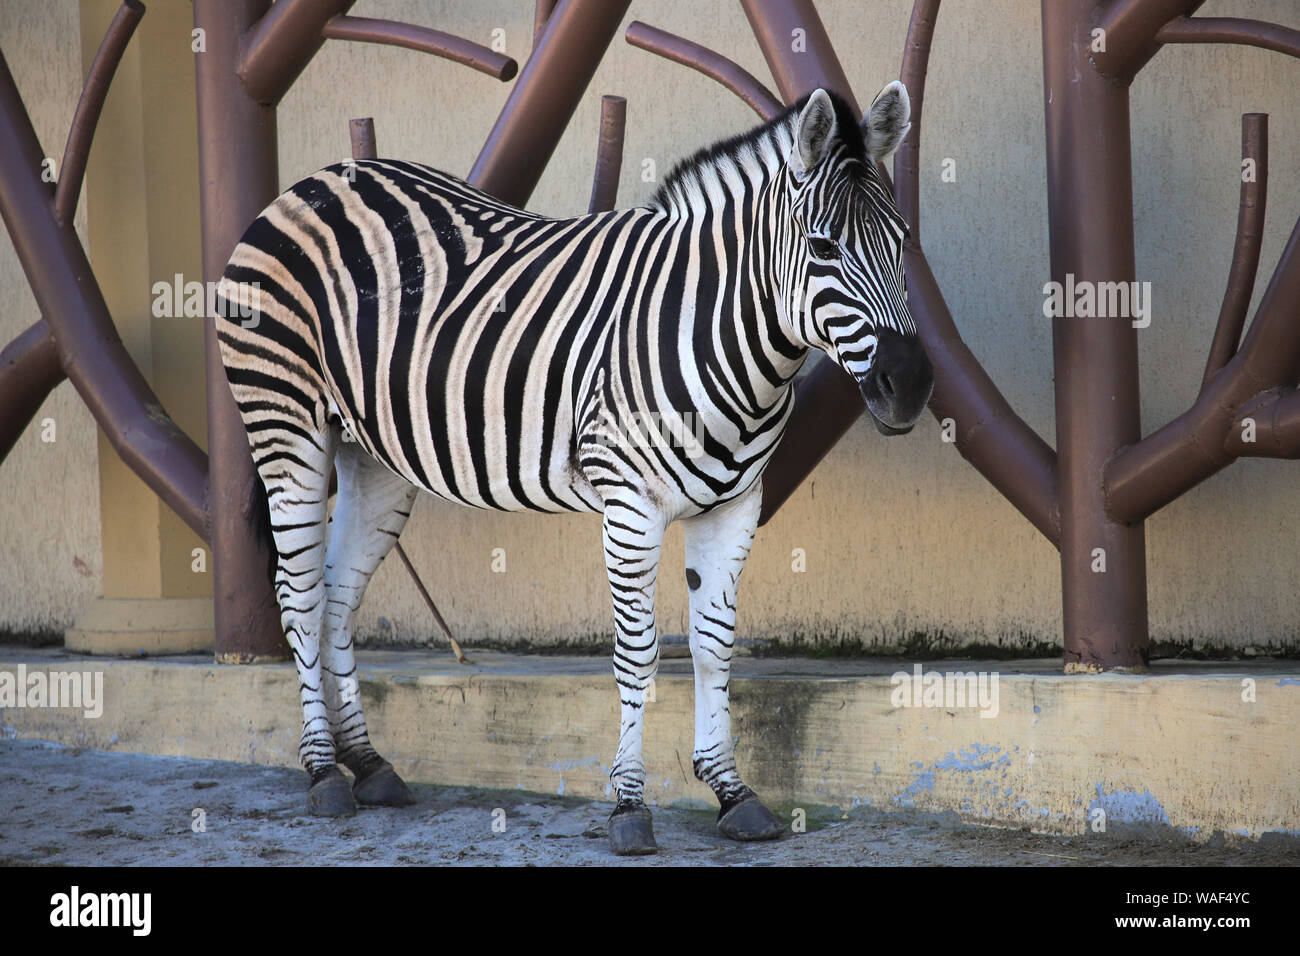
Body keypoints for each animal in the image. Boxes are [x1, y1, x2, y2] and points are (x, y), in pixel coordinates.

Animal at [215, 81, 932, 855]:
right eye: (824, 247)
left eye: (903, 240)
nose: (911, 384)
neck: (716, 331)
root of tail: (313, 180)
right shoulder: (630, 506)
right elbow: (639, 653)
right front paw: (628, 807)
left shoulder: (734, 506)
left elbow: (715, 647)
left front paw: (732, 793)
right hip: (286, 426)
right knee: (299, 595)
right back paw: (323, 774)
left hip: (372, 457)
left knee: (339, 593)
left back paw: (370, 764)